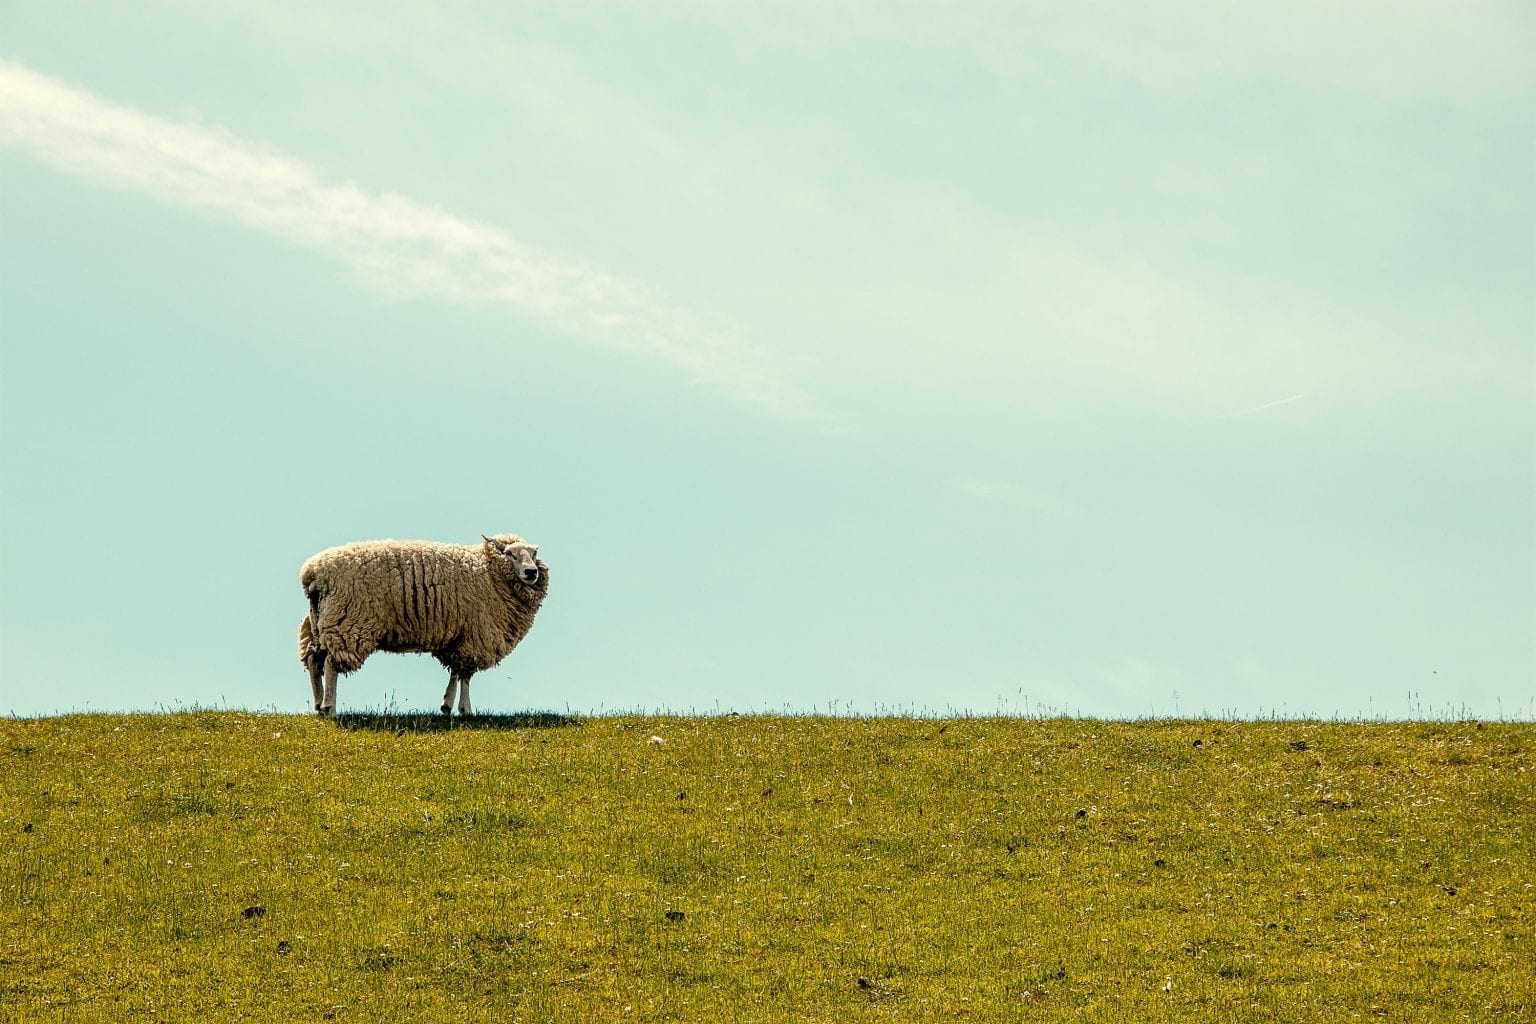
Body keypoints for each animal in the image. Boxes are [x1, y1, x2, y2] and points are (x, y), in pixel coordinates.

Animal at [297, 533, 549, 717]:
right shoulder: (474, 636)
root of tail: (312, 573)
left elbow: (456, 671)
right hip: (347, 623)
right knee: (331, 664)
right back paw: (330, 707)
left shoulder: (457, 637)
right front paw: (466, 709)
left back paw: (318, 705)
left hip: (320, 622)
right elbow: (466, 675)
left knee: (314, 660)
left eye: (534, 553)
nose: (531, 572)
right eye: (509, 554)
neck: (488, 572)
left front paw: (447, 706)